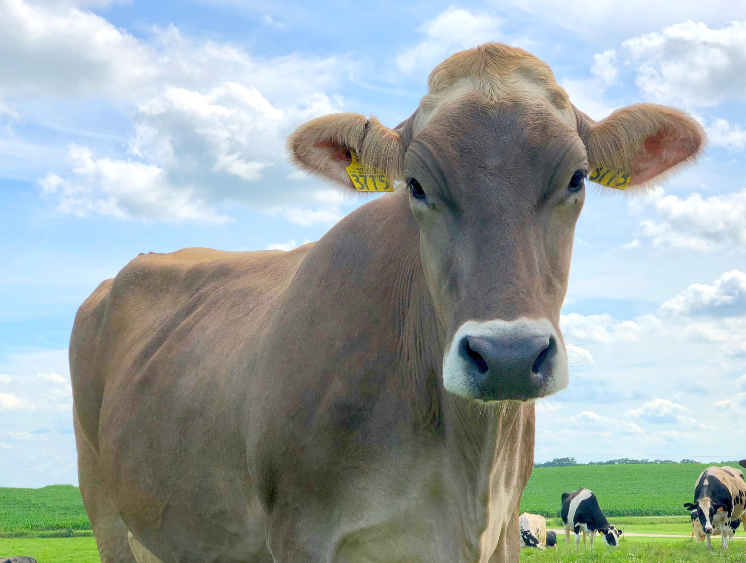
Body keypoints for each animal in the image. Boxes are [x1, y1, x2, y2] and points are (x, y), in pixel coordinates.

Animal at [70, 42, 705, 563]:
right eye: (416, 185)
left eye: (577, 177)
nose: (507, 357)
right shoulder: (300, 533)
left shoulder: (502, 531)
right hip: (104, 503)